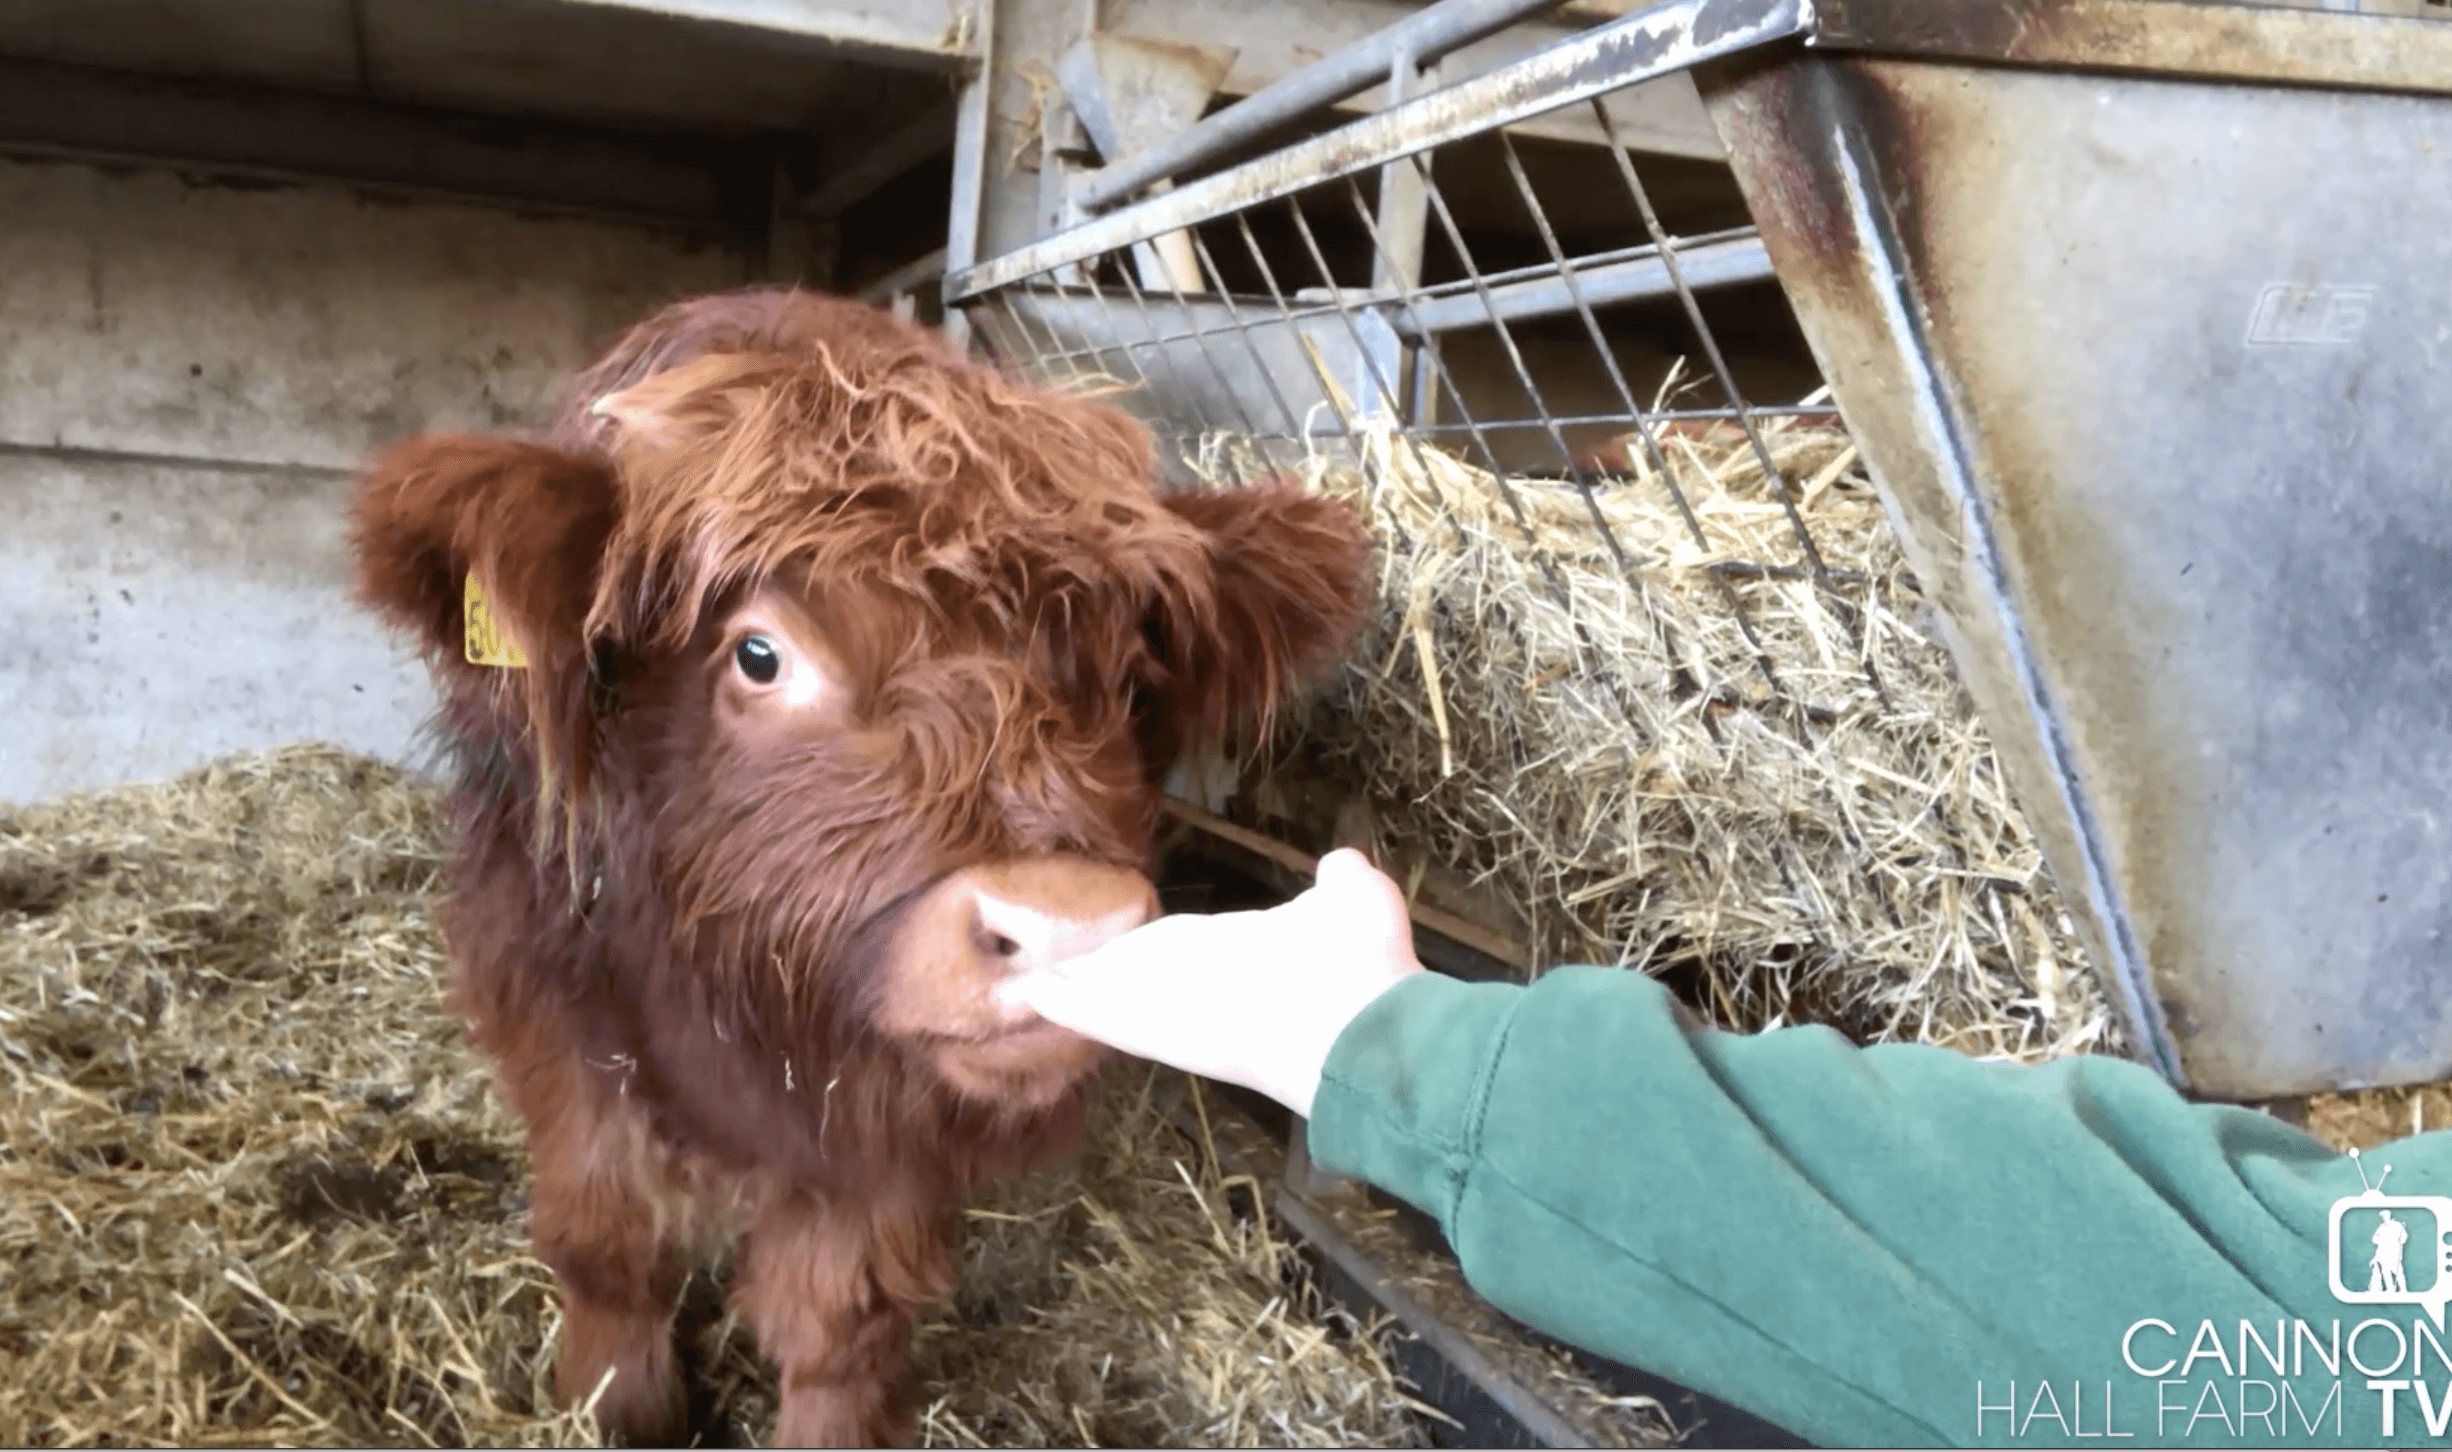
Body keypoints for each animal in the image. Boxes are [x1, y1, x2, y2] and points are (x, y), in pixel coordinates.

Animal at [347, 287, 1373, 1447]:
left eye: (1126, 675)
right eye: (759, 653)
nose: (1067, 925)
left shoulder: (886, 1117)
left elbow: (844, 1317)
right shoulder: (549, 993)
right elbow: (608, 1241)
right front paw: (614, 1406)